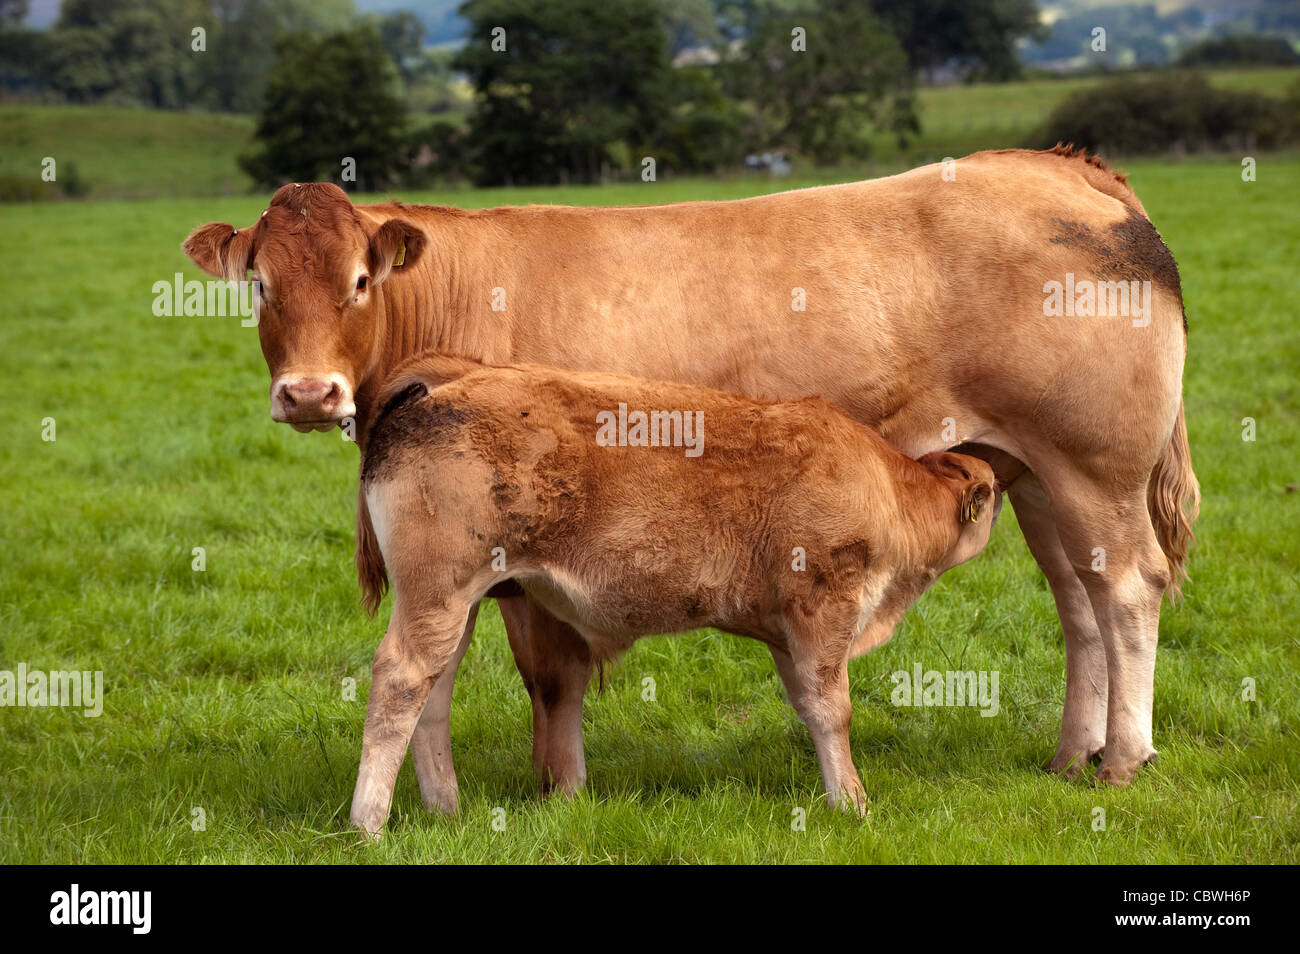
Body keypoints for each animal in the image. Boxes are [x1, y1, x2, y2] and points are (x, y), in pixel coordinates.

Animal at [349, 353, 1001, 834]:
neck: (887, 489)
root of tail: (450, 378)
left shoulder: (787, 633)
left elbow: (807, 707)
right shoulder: (824, 607)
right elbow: (832, 710)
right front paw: (853, 804)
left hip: (453, 606)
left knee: (433, 695)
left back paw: (445, 809)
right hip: (438, 594)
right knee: (399, 682)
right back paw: (368, 824)